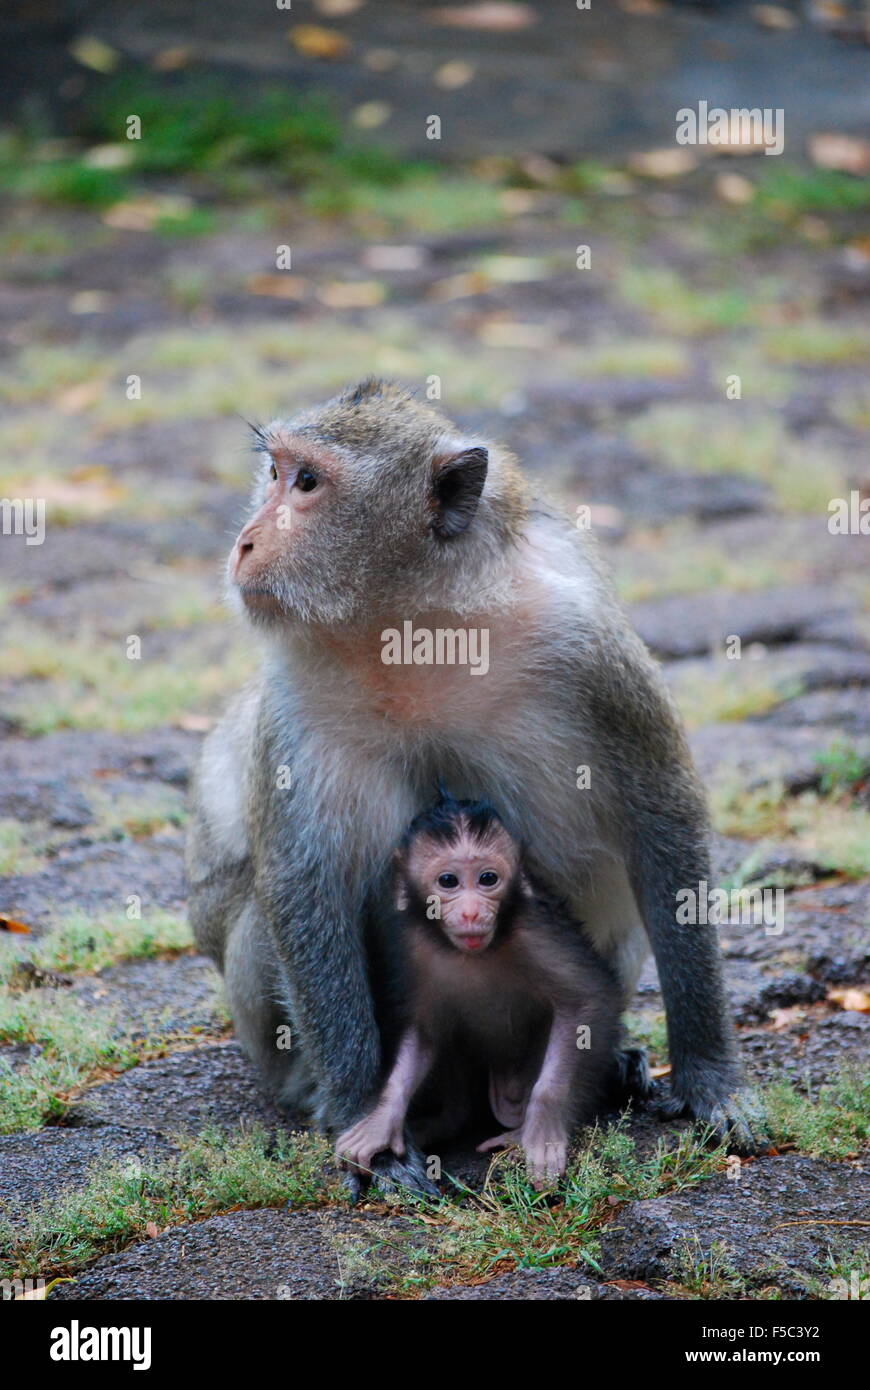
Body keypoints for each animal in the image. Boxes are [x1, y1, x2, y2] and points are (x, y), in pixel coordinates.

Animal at [335, 793, 623, 1188]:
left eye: (488, 879)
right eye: (448, 881)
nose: (472, 913)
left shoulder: (536, 934)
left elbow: (584, 1001)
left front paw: (542, 1132)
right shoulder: (415, 948)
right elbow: (423, 1033)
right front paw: (382, 1119)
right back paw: (443, 1120)